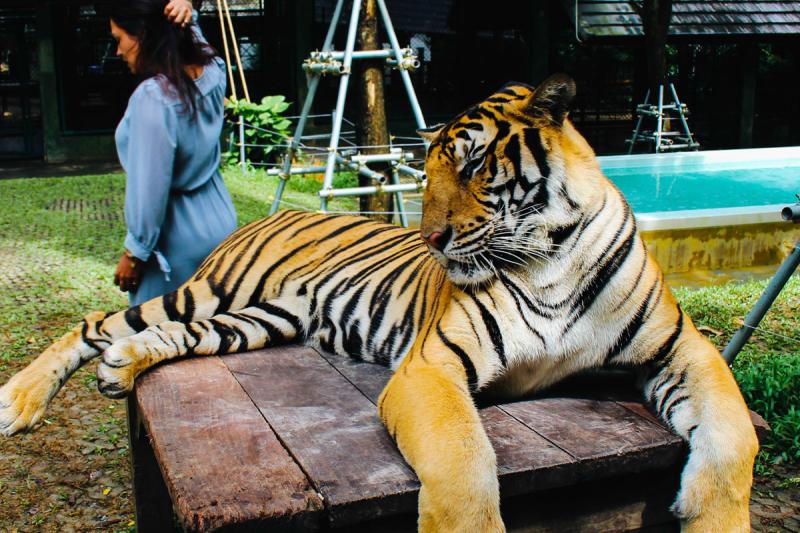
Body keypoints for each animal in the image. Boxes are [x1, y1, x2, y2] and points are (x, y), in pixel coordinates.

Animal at [0, 73, 757, 532]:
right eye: (425, 172)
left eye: (475, 165)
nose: (430, 237)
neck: (550, 257)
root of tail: (266, 216)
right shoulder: (432, 367)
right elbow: (463, 459)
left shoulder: (681, 348)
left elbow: (733, 434)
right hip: (210, 290)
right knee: (96, 321)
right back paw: (18, 402)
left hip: (256, 320)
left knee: (158, 337)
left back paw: (121, 367)